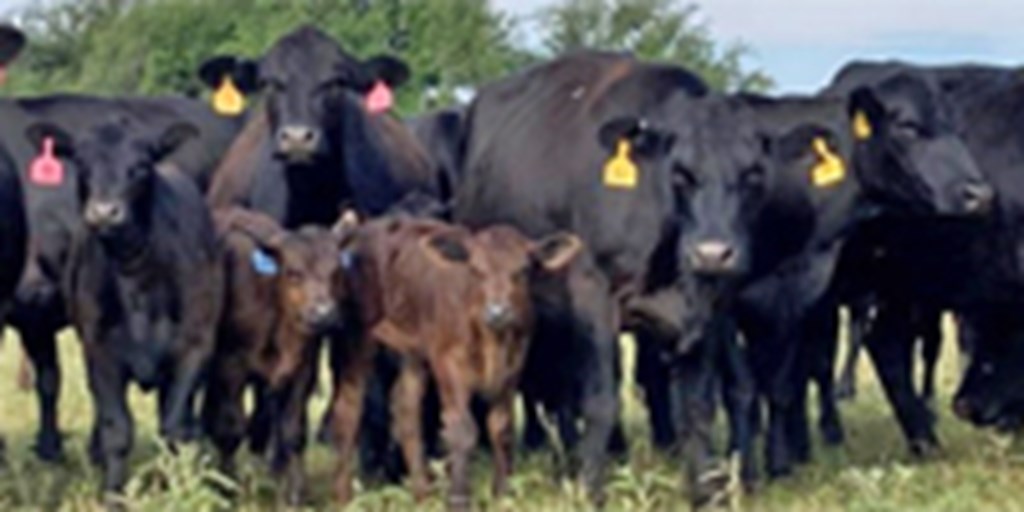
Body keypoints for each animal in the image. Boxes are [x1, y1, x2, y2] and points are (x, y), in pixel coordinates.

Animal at [24, 116, 223, 497]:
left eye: (141, 166)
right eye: (81, 163)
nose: (104, 212)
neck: (139, 283)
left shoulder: (195, 348)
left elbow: (173, 429)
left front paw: (172, 491)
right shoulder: (100, 351)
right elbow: (117, 430)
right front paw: (114, 494)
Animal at [203, 207, 346, 506]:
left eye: (336, 272)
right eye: (293, 273)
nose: (324, 314)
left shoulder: (303, 369)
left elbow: (294, 432)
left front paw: (295, 492)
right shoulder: (229, 367)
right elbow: (230, 428)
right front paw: (228, 487)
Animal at [326, 216, 581, 509]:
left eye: (523, 270)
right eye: (476, 270)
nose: (498, 311)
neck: (493, 340)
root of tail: (358, 231)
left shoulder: (513, 367)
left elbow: (501, 428)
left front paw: (502, 494)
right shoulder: (448, 363)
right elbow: (462, 429)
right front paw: (458, 499)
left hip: (414, 350)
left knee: (406, 409)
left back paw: (422, 494)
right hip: (356, 339)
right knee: (348, 411)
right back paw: (343, 497)